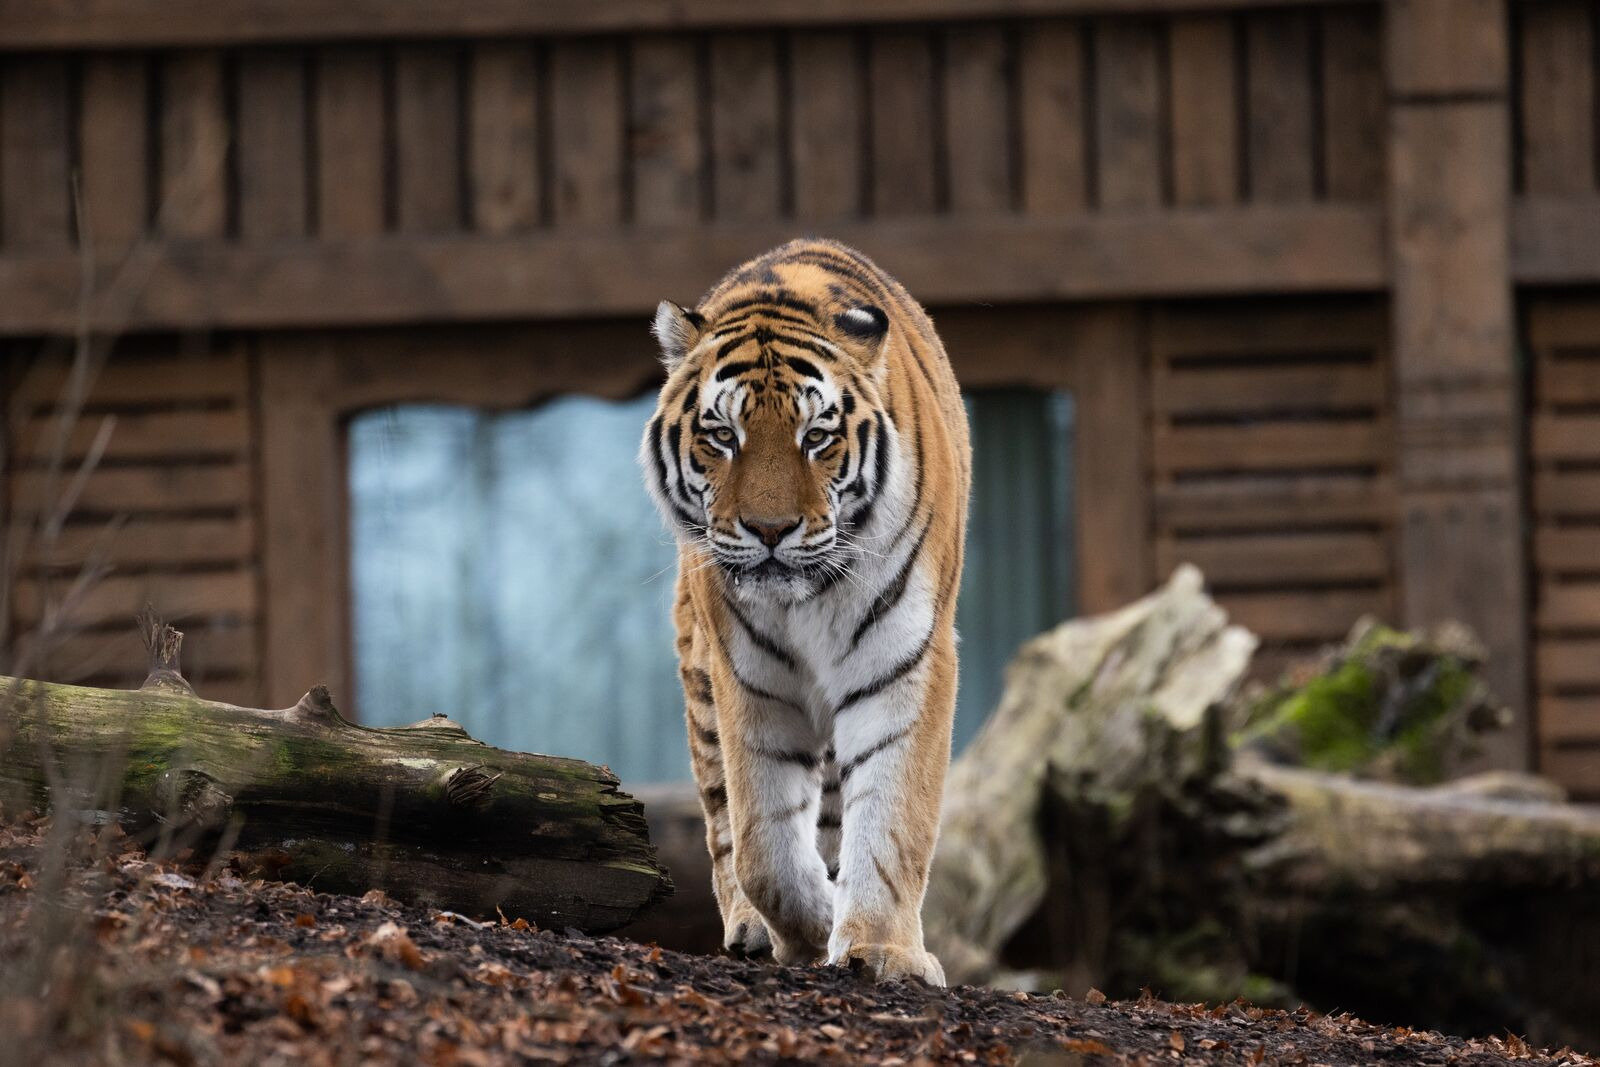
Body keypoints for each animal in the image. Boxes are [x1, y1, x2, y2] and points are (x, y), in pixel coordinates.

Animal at [639, 238, 971, 984]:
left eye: (816, 436)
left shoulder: (904, 661)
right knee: (724, 822)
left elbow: (890, 819)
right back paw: (751, 928)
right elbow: (761, 845)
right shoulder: (749, 679)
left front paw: (882, 948)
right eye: (721, 435)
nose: (770, 530)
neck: (808, 599)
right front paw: (813, 925)